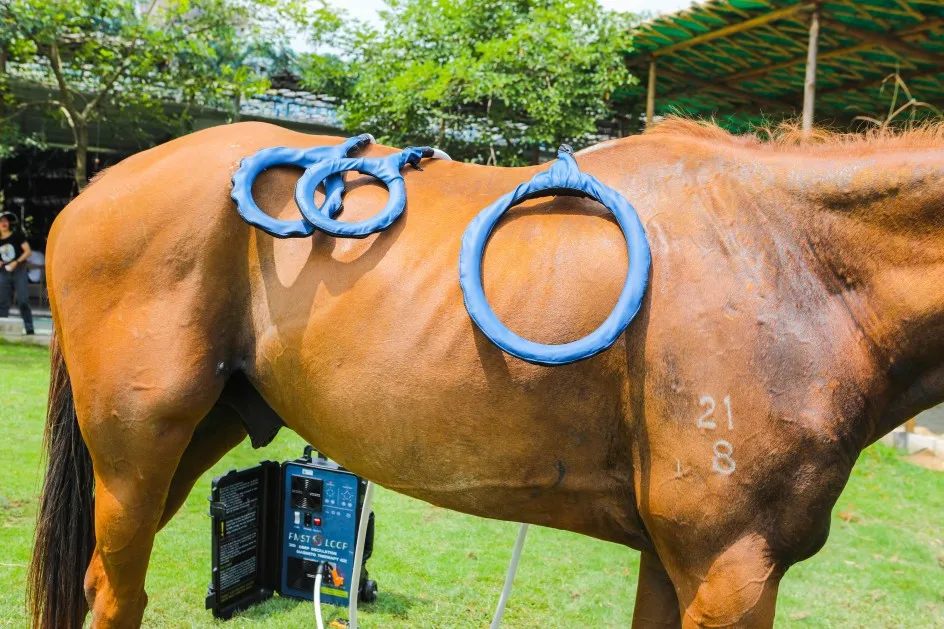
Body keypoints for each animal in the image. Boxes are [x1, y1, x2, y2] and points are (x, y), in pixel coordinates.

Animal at [26, 118, 944, 628]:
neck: (790, 259)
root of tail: (88, 192)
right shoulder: (732, 569)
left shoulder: (677, 560)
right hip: (135, 450)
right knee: (117, 596)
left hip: (189, 439)